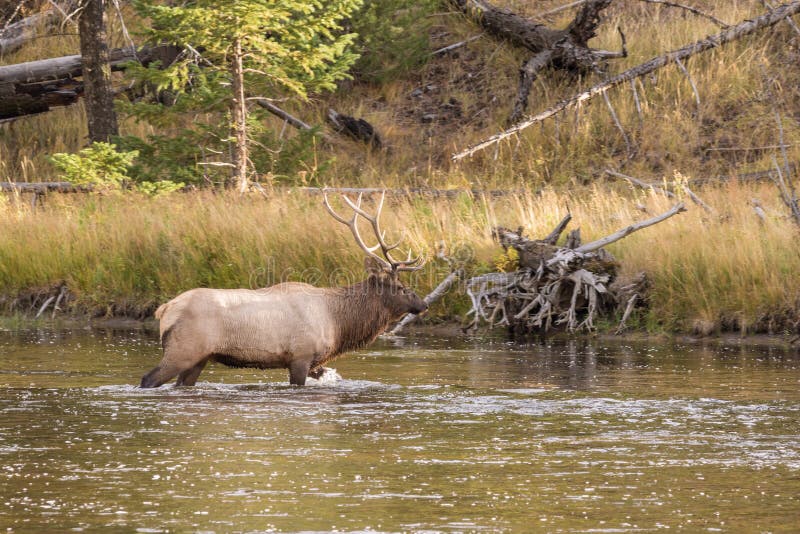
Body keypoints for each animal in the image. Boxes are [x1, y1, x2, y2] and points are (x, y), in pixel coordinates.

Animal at [139, 192, 428, 388]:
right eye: (401, 287)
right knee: (148, 379)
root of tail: (164, 309)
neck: (338, 322)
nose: (424, 304)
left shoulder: (314, 362)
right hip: (183, 350)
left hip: (198, 358)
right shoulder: (301, 356)